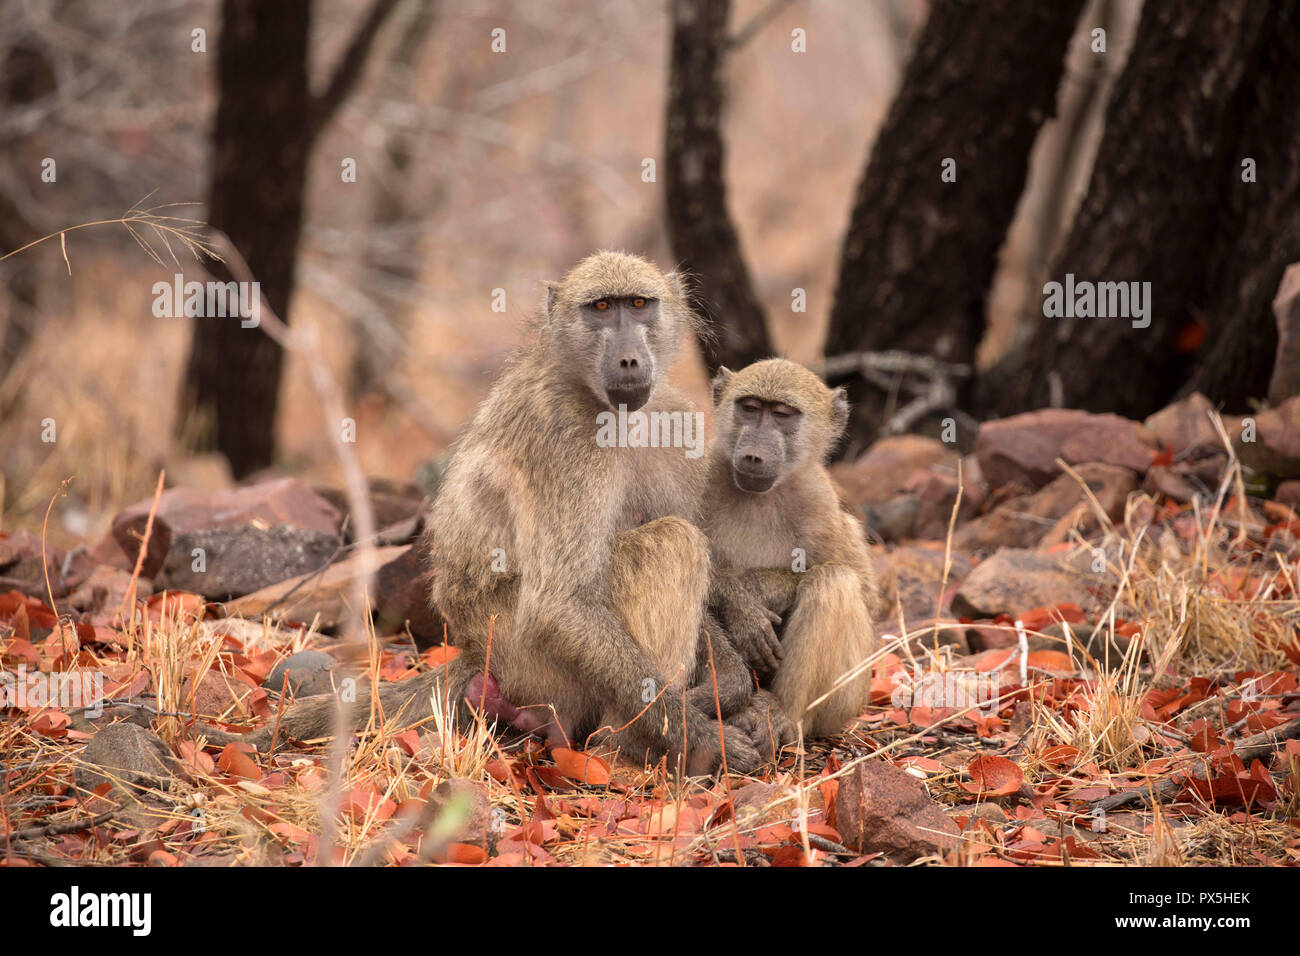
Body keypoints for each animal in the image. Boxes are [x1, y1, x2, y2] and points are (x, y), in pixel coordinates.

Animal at [206, 252, 762, 775]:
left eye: (639, 304)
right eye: (602, 308)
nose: (628, 359)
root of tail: (474, 650)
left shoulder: (671, 417)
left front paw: (728, 680)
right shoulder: (562, 437)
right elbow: (562, 602)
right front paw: (708, 741)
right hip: (527, 660)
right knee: (671, 543)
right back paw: (623, 751)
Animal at [700, 359, 881, 746]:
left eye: (782, 415)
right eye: (750, 408)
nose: (754, 455)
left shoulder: (819, 501)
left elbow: (866, 594)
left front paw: (752, 590)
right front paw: (739, 604)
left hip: (846, 700)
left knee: (833, 580)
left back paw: (781, 713)